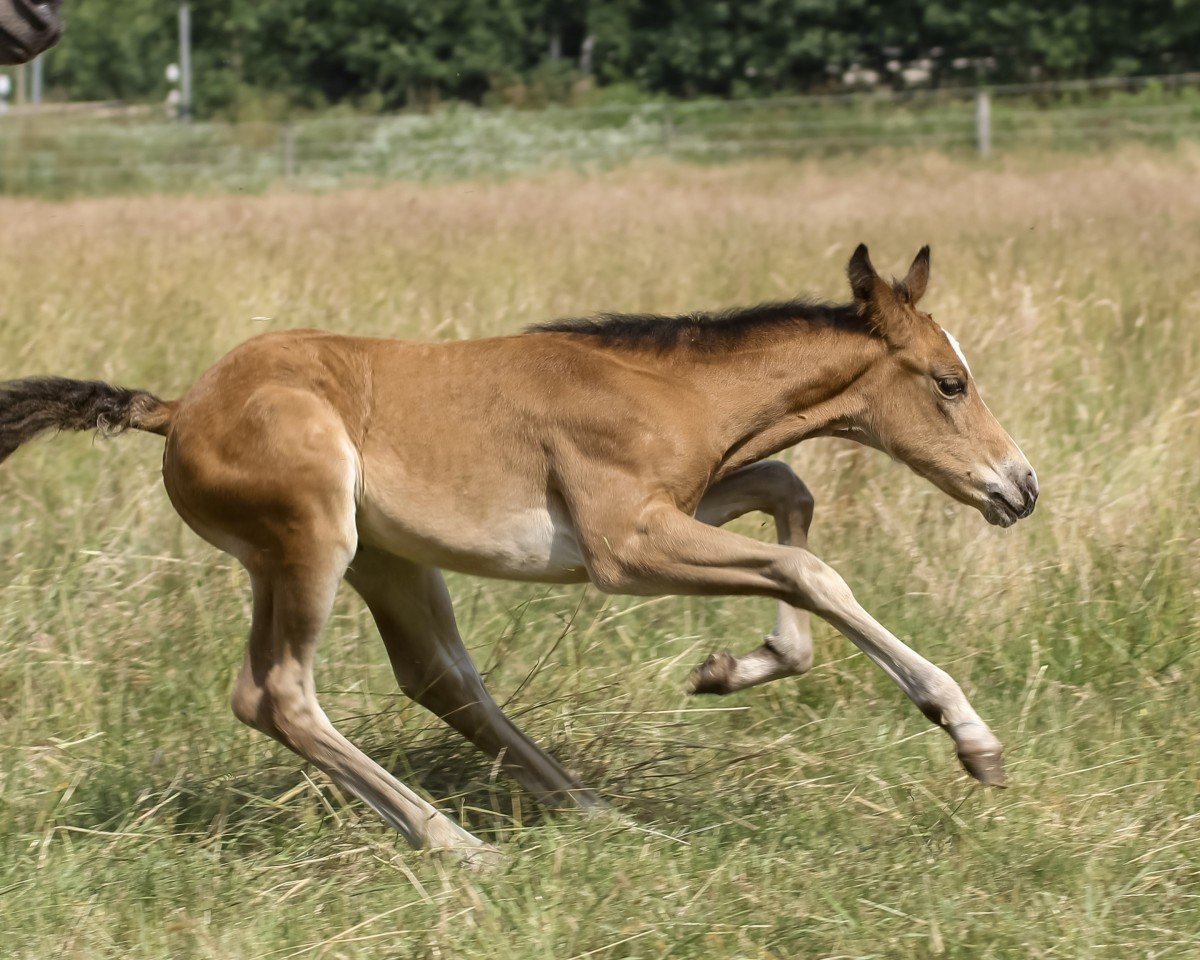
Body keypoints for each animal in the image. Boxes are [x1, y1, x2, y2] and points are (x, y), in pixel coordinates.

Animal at [0, 244, 1037, 860]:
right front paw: (969, 736)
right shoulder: (624, 547)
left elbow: (791, 491)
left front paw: (734, 667)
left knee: (441, 679)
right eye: (949, 383)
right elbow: (809, 566)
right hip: (311, 544)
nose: (1020, 486)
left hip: (387, 559)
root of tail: (179, 408)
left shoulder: (680, 504)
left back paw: (591, 815)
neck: (671, 388)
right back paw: (462, 848)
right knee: (277, 694)